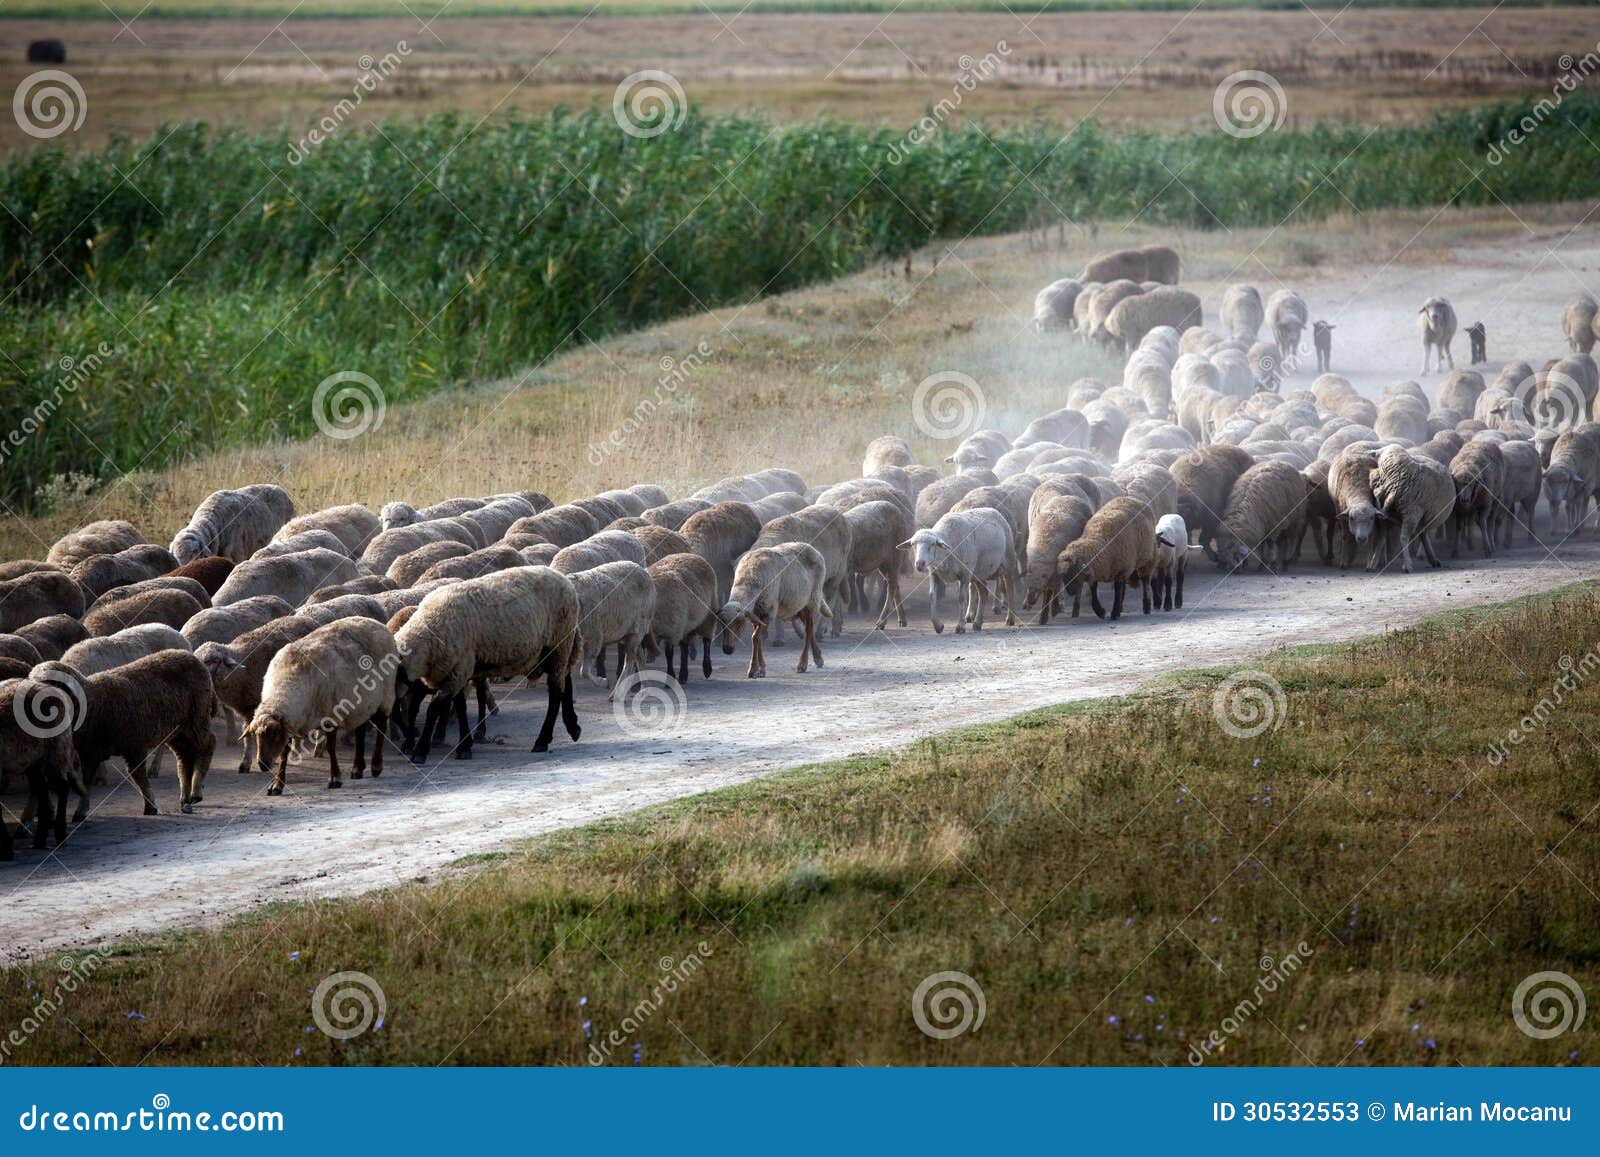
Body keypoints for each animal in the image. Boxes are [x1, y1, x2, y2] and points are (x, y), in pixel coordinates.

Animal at [244, 618, 401, 792]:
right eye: (255, 735)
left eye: (275, 734)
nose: (262, 765)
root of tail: (377, 623)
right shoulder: (292, 721)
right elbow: (284, 753)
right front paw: (277, 784)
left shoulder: (330, 716)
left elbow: (331, 748)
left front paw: (335, 778)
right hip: (362, 704)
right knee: (360, 731)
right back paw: (357, 769)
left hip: (386, 695)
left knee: (381, 727)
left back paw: (376, 766)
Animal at [643, 553, 719, 682]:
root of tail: (691, 554)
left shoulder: (673, 629)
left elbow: (669, 654)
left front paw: (671, 675)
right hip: (687, 622)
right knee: (685, 646)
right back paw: (684, 674)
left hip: (709, 615)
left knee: (706, 641)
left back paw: (706, 669)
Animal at [719, 543, 832, 676]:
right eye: (722, 623)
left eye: (740, 622)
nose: (727, 649)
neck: (747, 581)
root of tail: (813, 548)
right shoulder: (756, 613)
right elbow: (758, 639)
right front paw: (761, 668)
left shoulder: (768, 611)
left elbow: (755, 638)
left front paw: (753, 669)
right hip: (799, 605)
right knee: (809, 628)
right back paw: (818, 659)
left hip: (812, 600)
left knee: (808, 630)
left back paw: (802, 665)